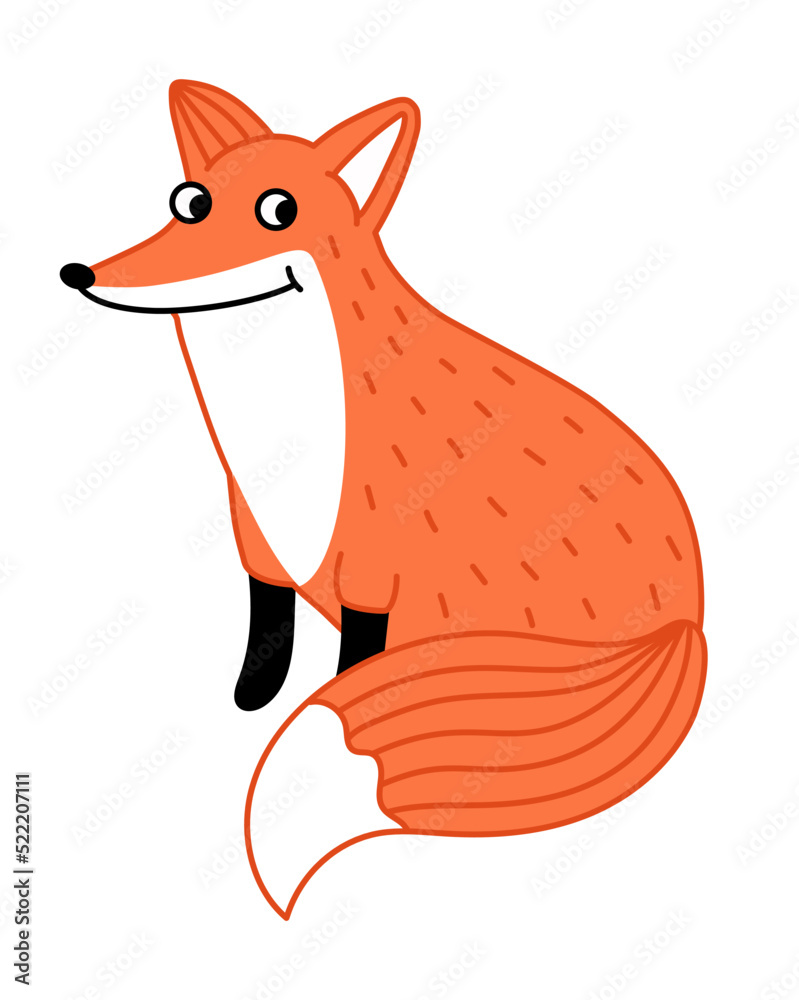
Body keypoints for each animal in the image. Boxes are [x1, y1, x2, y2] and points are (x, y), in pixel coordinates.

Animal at [61, 80, 706, 917]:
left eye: (278, 211)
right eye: (189, 201)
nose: (81, 273)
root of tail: (688, 628)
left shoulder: (374, 563)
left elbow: (354, 658)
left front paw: (326, 693)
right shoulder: (257, 539)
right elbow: (267, 625)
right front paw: (255, 698)